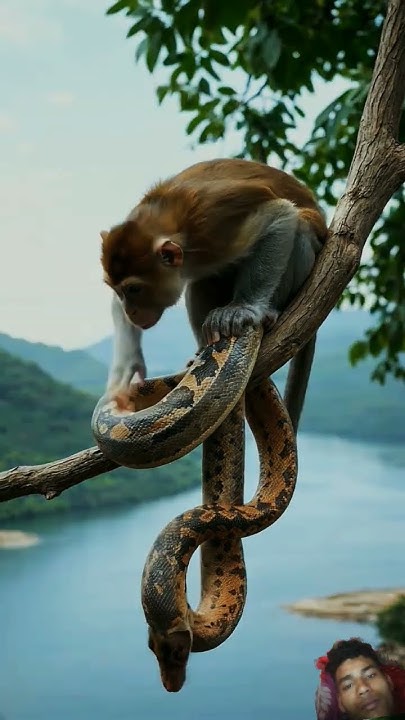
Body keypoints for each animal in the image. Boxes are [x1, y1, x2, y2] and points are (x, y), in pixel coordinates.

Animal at [100, 158, 328, 431]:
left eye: (134, 289)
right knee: (203, 281)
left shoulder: (215, 226)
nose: (131, 311)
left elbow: (279, 215)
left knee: (301, 225)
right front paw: (127, 368)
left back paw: (271, 311)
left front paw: (243, 308)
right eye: (119, 290)